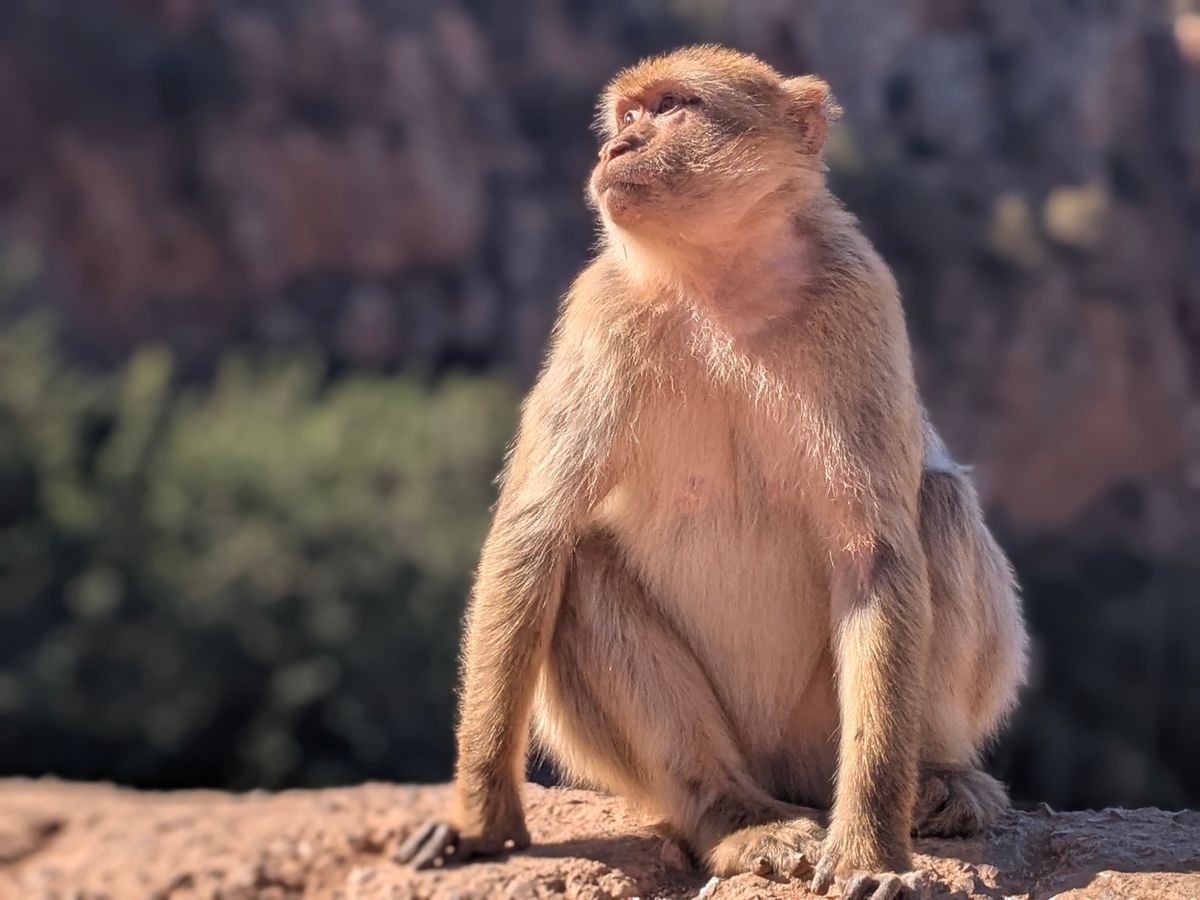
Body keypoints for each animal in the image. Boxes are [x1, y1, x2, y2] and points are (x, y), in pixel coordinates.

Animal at [397, 45, 1027, 899]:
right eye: (629, 113)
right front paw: (479, 820)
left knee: (938, 505)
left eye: (672, 106)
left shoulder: (860, 294)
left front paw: (870, 850)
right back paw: (736, 817)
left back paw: (938, 778)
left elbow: (875, 552)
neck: (721, 280)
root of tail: (784, 776)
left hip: (817, 735)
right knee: (581, 564)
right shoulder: (600, 313)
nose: (618, 147)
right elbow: (536, 537)